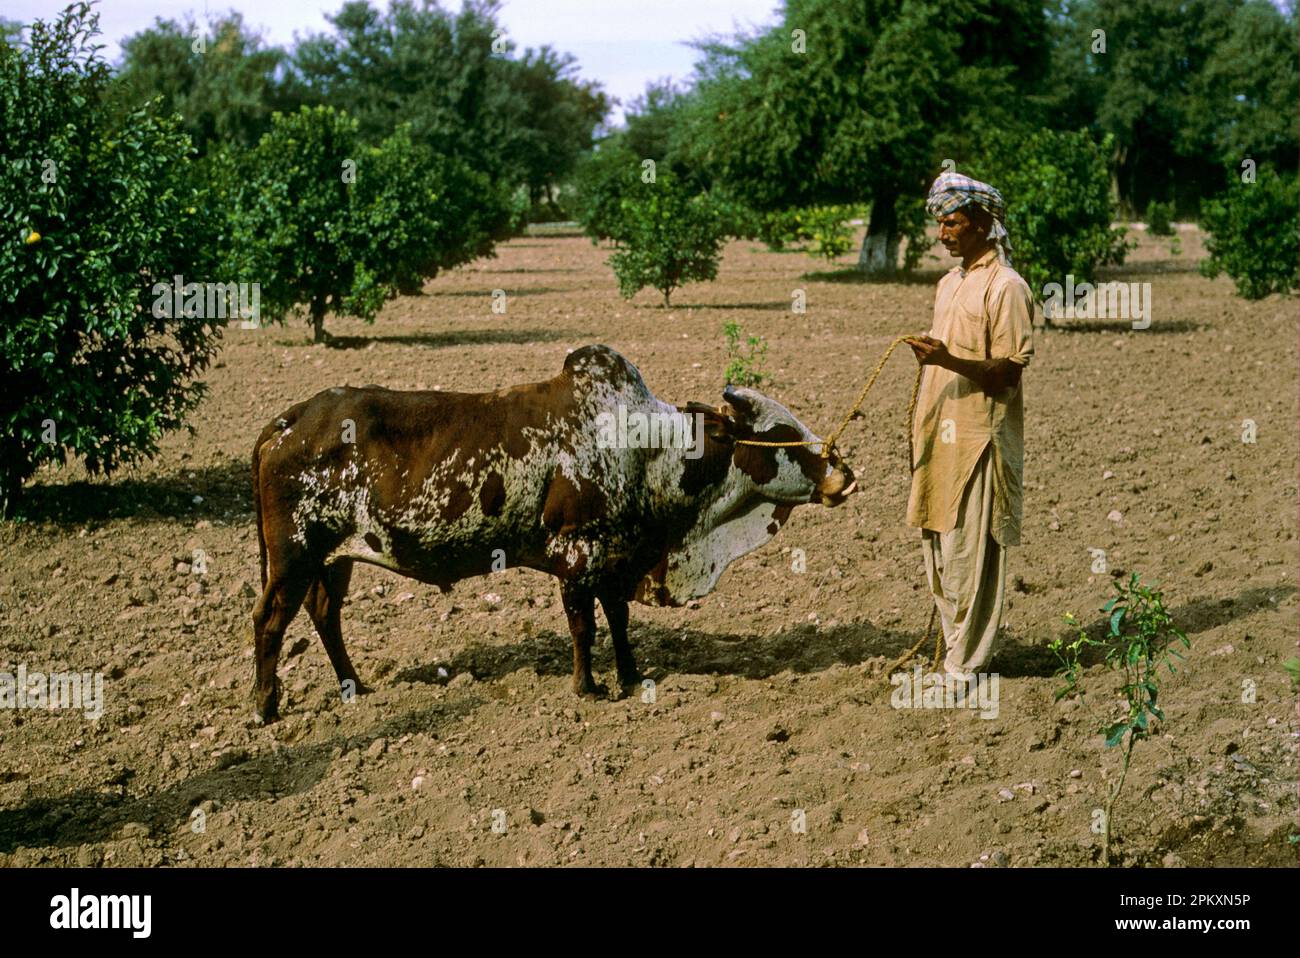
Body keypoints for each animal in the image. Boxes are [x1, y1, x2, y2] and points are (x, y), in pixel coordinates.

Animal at [249, 344, 855, 722]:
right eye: (781, 432)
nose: (844, 473)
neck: (648, 447)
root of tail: (291, 419)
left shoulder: (615, 559)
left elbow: (618, 621)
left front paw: (631, 675)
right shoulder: (576, 554)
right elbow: (583, 627)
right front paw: (587, 688)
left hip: (334, 559)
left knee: (324, 615)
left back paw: (355, 687)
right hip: (294, 556)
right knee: (269, 620)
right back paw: (265, 705)